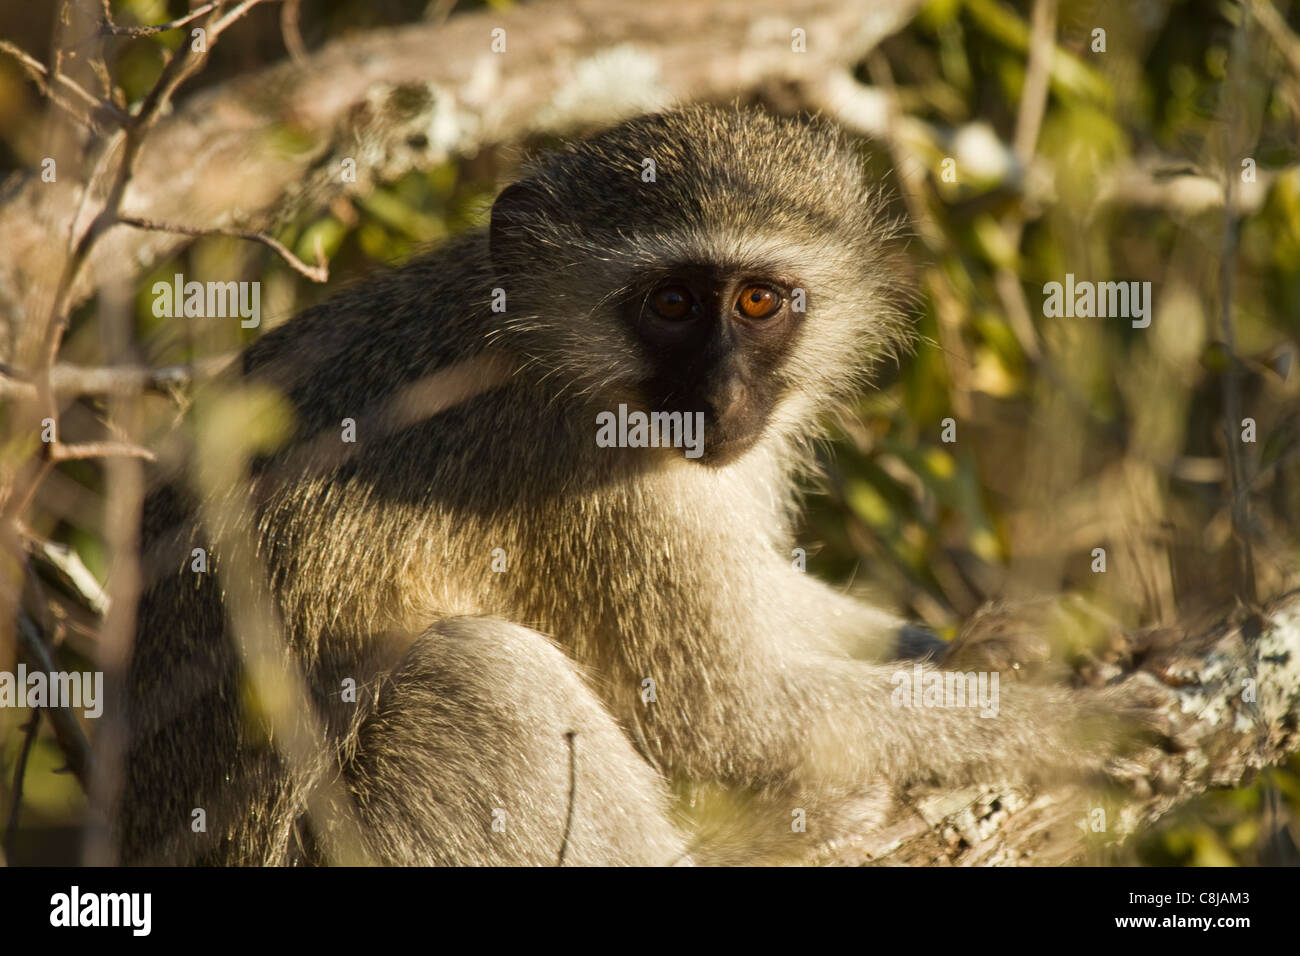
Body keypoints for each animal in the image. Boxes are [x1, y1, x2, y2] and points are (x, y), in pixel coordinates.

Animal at [115, 104, 1163, 866]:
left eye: (758, 301)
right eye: (670, 304)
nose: (722, 396)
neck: (546, 350)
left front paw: (986, 640)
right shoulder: (602, 489)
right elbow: (728, 713)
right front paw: (1067, 730)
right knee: (473, 669)